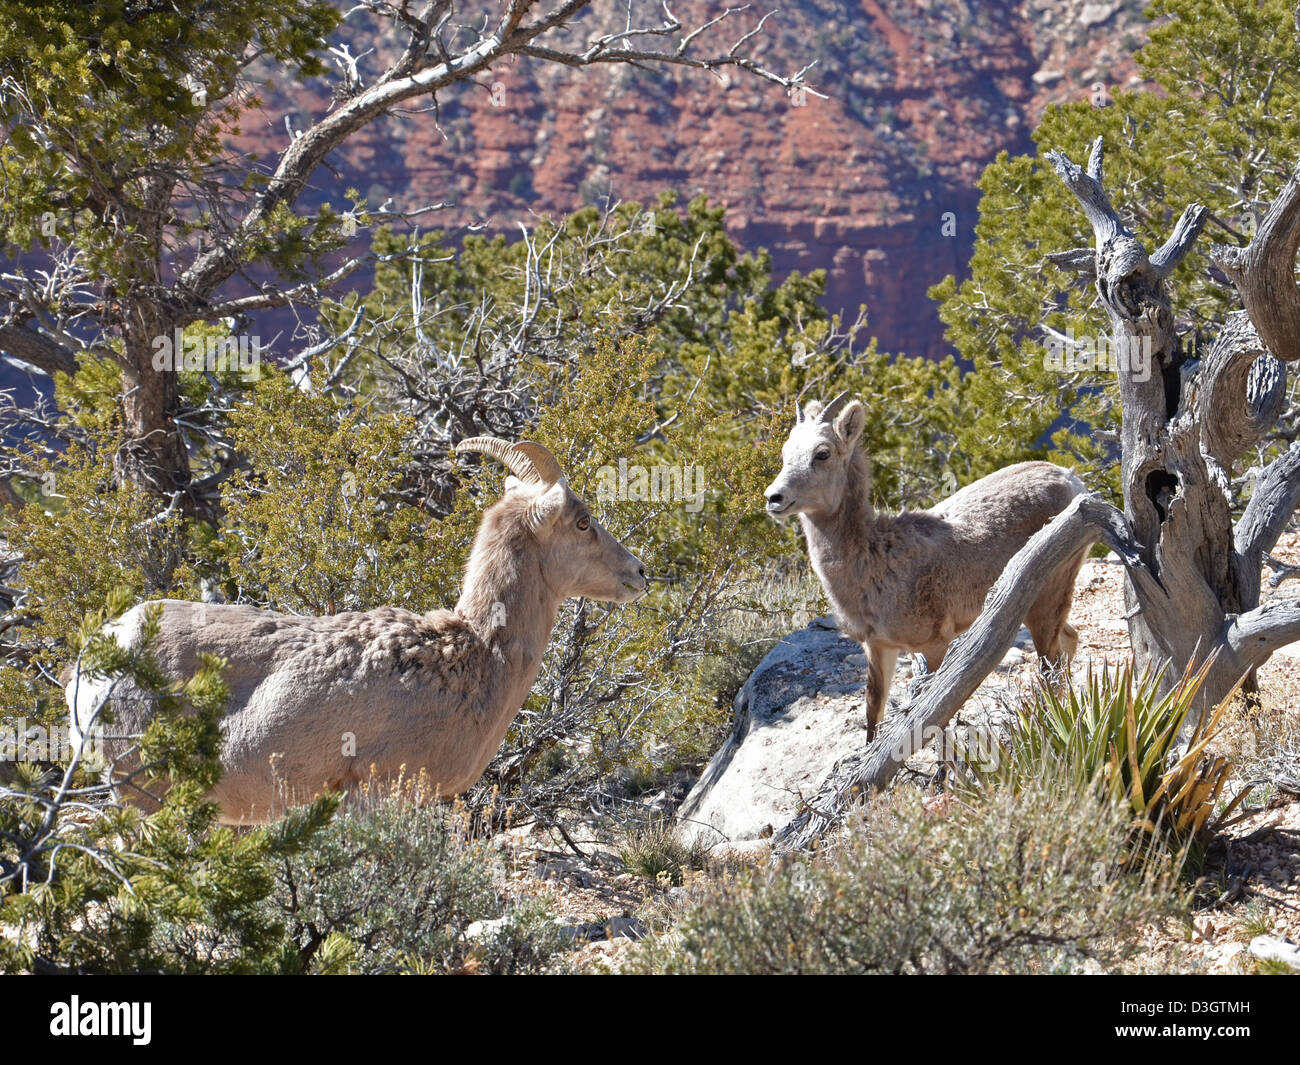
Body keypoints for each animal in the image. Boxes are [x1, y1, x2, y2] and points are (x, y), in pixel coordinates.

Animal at [66, 437, 648, 824]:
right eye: (582, 521)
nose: (639, 573)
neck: (472, 654)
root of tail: (92, 661)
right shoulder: (376, 795)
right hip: (143, 799)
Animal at [764, 393, 1087, 739]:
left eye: (822, 453)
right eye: (785, 452)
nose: (773, 497)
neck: (874, 565)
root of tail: (1075, 482)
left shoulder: (934, 640)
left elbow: (934, 719)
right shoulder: (876, 644)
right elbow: (873, 713)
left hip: (1050, 590)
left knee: (1051, 667)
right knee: (1069, 640)